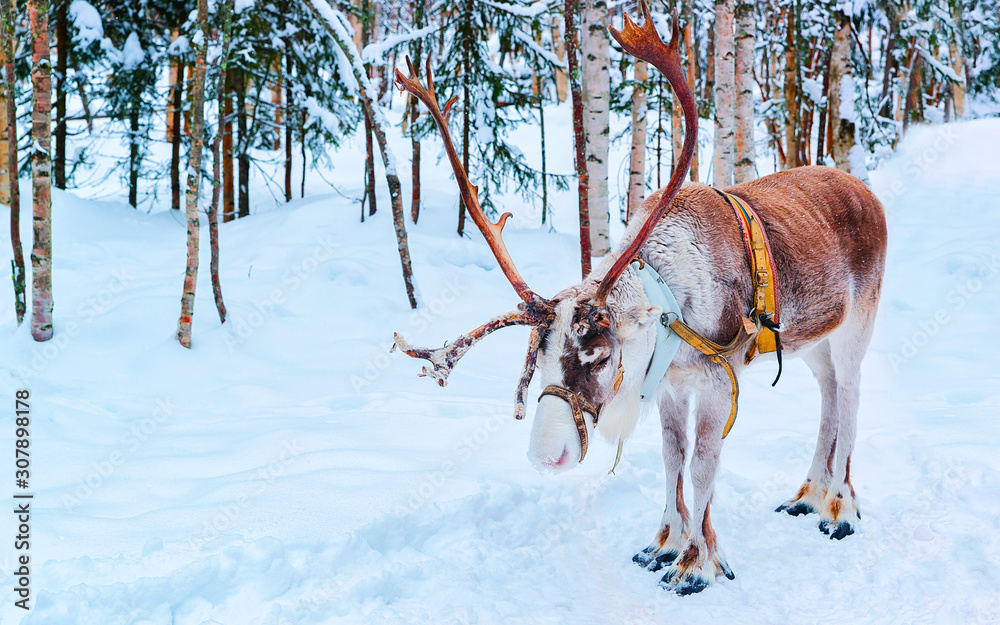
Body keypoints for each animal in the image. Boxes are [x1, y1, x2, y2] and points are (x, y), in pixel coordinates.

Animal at [392, 1, 887, 595]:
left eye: (600, 355)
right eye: (536, 360)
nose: (547, 456)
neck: (670, 307)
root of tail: (868, 194)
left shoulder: (719, 382)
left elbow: (701, 466)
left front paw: (697, 564)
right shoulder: (670, 385)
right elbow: (673, 459)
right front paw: (663, 544)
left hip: (858, 325)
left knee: (852, 395)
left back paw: (840, 509)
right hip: (810, 340)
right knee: (828, 393)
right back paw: (807, 496)